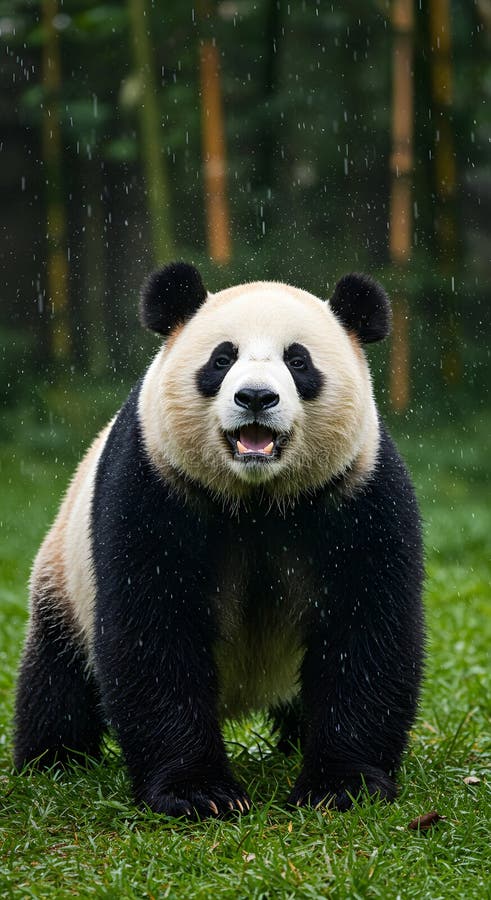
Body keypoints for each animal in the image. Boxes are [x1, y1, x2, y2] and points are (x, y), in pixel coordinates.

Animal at [14, 262, 424, 818]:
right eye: (222, 359)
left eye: (298, 361)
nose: (255, 398)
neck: (257, 498)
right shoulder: (155, 483)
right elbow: (153, 630)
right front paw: (198, 793)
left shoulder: (358, 489)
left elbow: (366, 628)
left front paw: (341, 787)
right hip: (65, 576)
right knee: (58, 678)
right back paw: (53, 761)